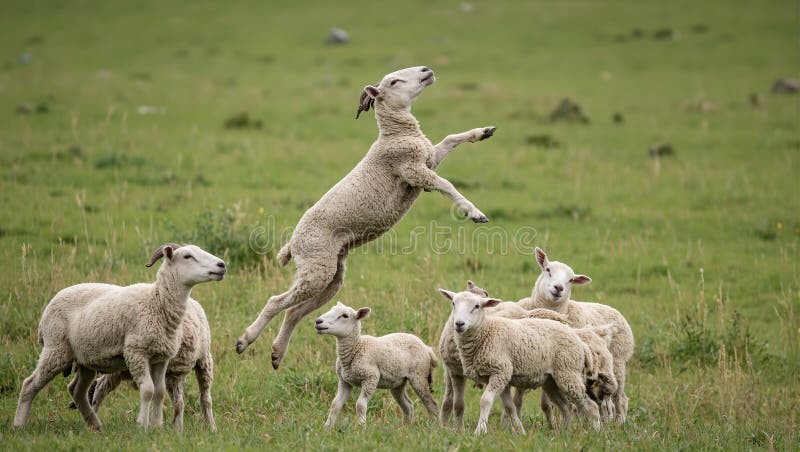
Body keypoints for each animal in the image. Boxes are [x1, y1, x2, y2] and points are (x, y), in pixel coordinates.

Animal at [66, 296, 215, 431]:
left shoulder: (195, 365)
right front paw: (179, 429)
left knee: (100, 385)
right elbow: (182, 403)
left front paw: (207, 428)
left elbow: (198, 400)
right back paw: (93, 416)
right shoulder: (175, 373)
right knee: (100, 387)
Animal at [235, 66, 497, 370]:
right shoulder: (412, 169)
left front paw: (484, 131)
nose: (426, 70)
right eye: (394, 81)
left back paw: (277, 354)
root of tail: (292, 243)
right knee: (276, 302)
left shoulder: (426, 160)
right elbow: (447, 184)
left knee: (294, 311)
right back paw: (245, 340)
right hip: (316, 267)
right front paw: (474, 212)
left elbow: (451, 138)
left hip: (330, 275)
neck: (395, 134)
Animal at [439, 288, 601, 435]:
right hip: (552, 381)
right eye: (453, 303)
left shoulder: (500, 372)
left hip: (568, 372)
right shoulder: (502, 378)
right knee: (566, 407)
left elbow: (485, 401)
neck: (487, 332)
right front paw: (520, 432)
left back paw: (597, 432)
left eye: (477, 306)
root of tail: (580, 342)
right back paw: (562, 434)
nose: (459, 324)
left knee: (590, 405)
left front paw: (480, 431)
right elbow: (510, 408)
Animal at [517, 246, 634, 424]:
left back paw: (618, 423)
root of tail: (613, 310)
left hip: (618, 363)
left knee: (620, 399)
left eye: (571, 280)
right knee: (606, 402)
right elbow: (546, 404)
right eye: (548, 270)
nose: (558, 288)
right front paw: (552, 424)